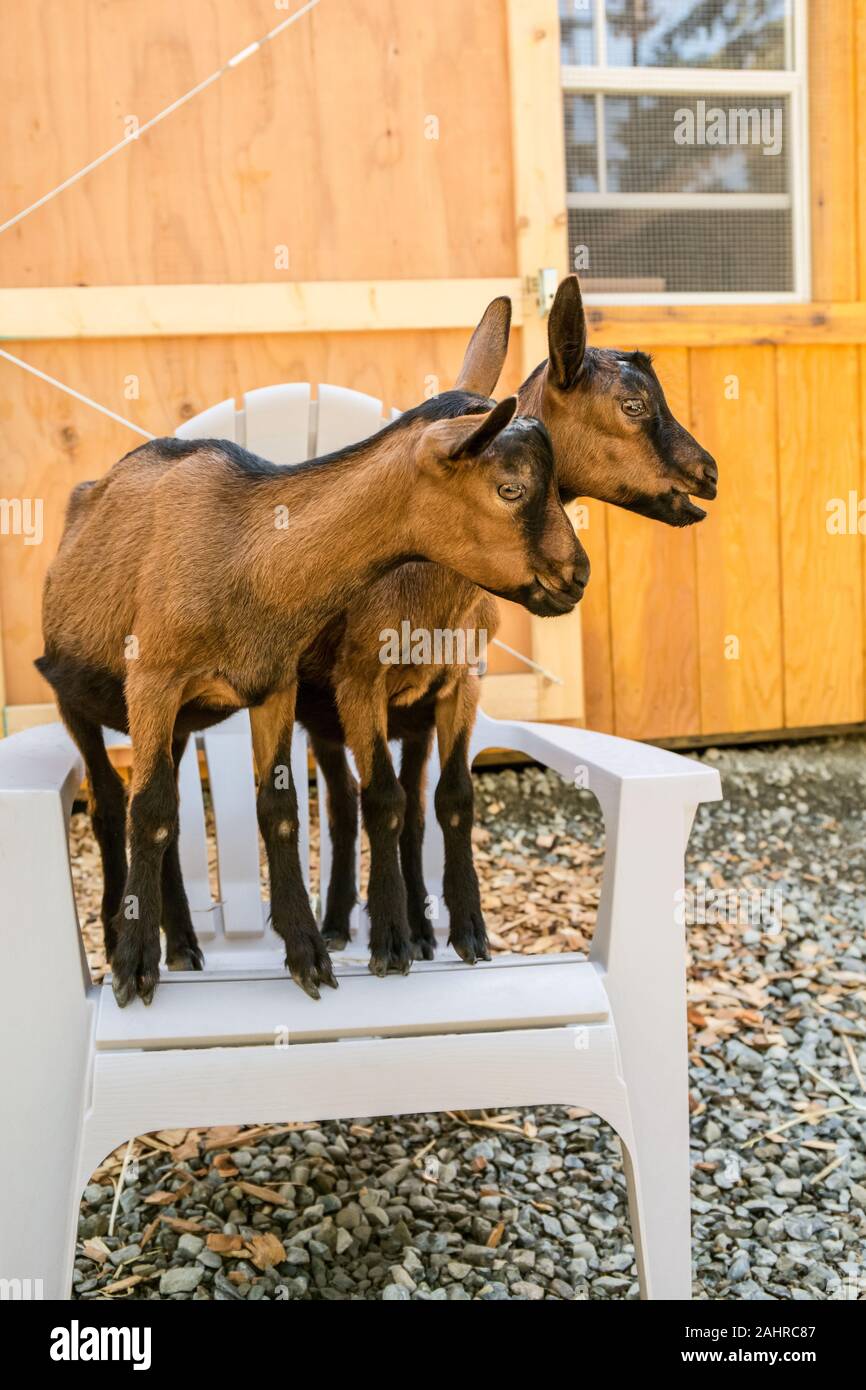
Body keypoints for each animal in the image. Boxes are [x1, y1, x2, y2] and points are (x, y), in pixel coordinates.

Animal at [38, 392, 589, 1005]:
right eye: (510, 488)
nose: (578, 576)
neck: (244, 557)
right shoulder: (153, 679)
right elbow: (150, 810)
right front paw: (134, 965)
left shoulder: (275, 685)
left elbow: (276, 810)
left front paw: (307, 952)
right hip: (75, 697)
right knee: (113, 802)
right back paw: (120, 937)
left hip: (180, 724)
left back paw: (182, 943)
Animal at [292, 276, 718, 971]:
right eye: (632, 405)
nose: (708, 473)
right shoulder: (359, 683)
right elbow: (377, 802)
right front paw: (388, 942)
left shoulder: (462, 682)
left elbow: (451, 800)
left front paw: (466, 930)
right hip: (322, 713)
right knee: (345, 805)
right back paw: (338, 923)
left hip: (413, 716)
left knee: (412, 806)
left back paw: (421, 925)